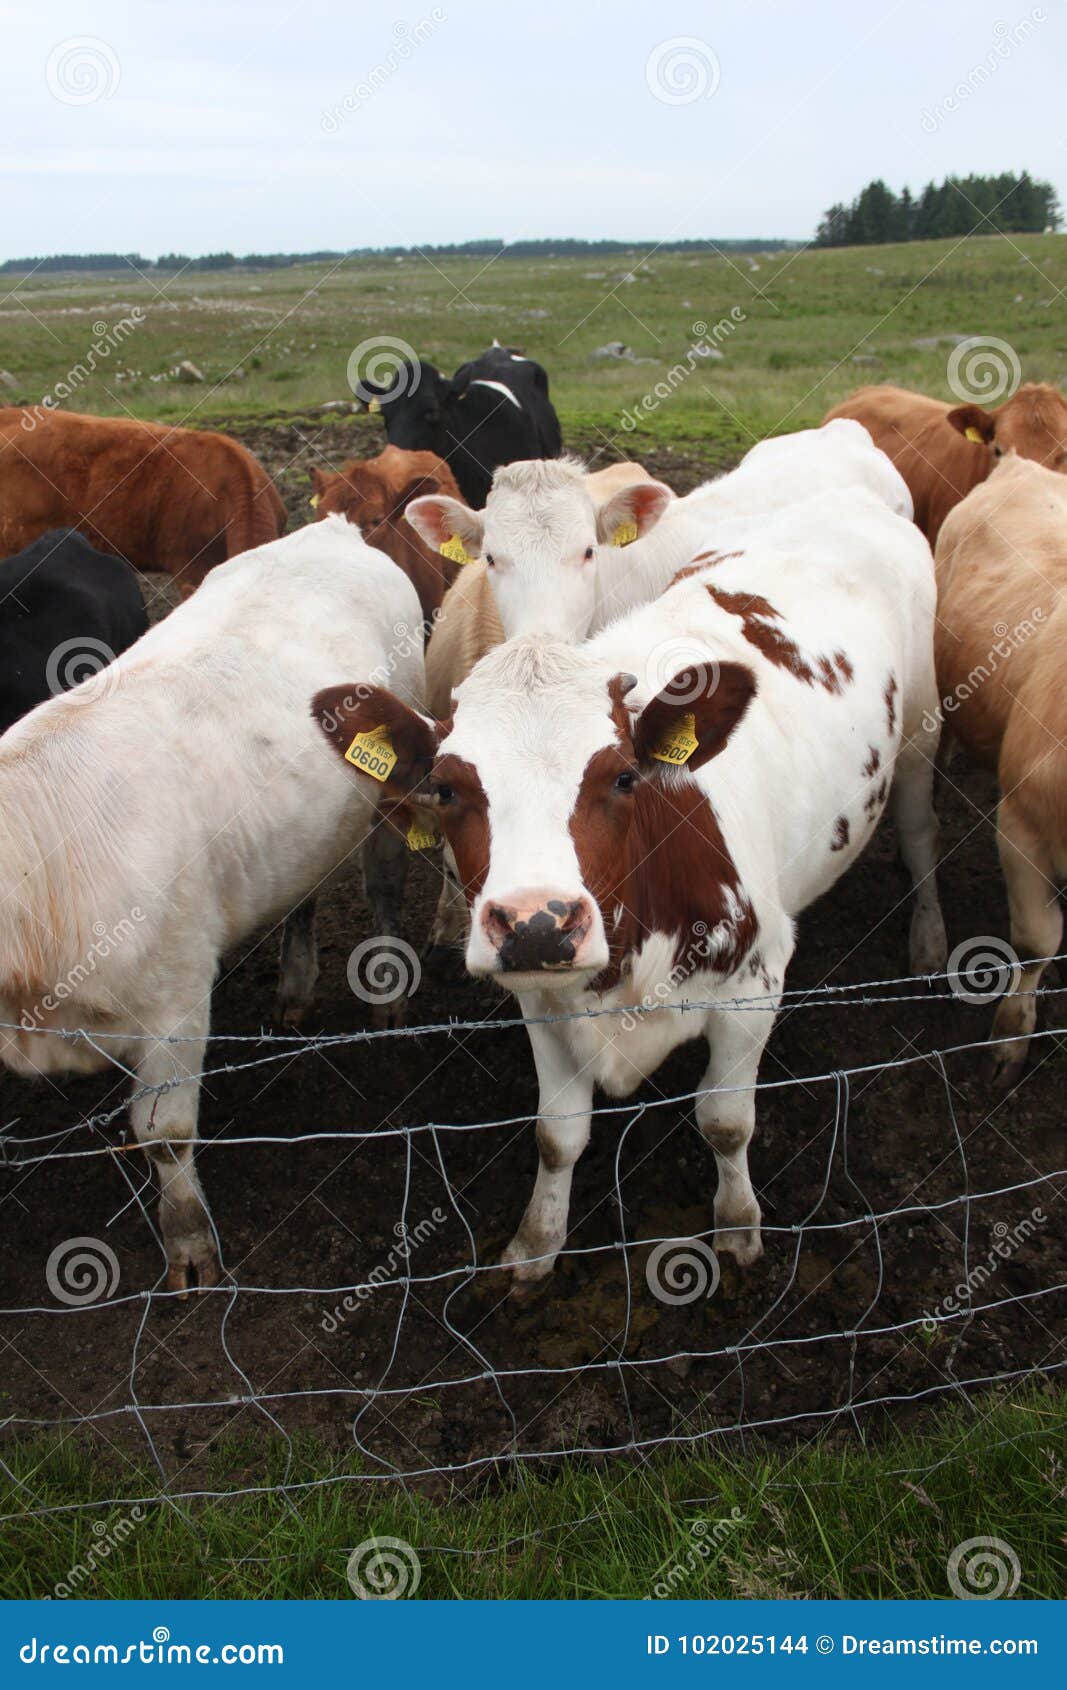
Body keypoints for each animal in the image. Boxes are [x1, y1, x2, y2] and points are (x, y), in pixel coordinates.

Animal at [315, 484, 946, 1285]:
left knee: (921, 832)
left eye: (621, 777)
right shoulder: (542, 1002)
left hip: (923, 730)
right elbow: (557, 1134)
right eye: (448, 788)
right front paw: (535, 1244)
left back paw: (930, 938)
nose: (539, 922)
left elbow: (725, 1121)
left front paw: (738, 1228)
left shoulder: (754, 984)